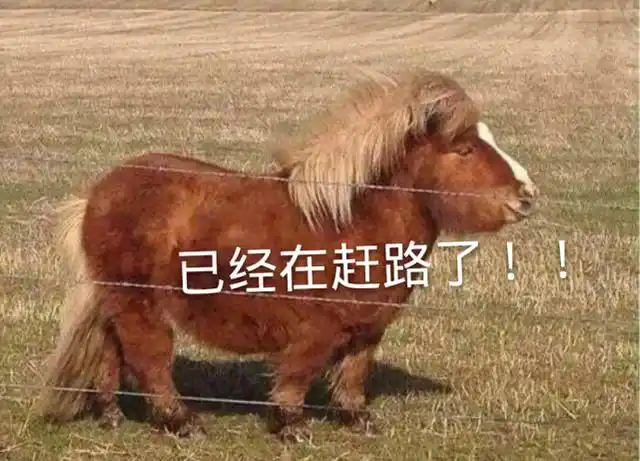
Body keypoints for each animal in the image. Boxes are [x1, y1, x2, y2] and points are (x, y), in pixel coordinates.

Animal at [39, 67, 539, 442]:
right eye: (465, 149)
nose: (527, 195)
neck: (349, 218)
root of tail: (98, 191)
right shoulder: (316, 329)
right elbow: (298, 375)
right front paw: (291, 426)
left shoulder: (367, 328)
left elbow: (354, 374)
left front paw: (358, 420)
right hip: (138, 303)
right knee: (149, 358)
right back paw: (181, 422)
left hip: (114, 301)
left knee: (110, 351)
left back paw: (110, 414)